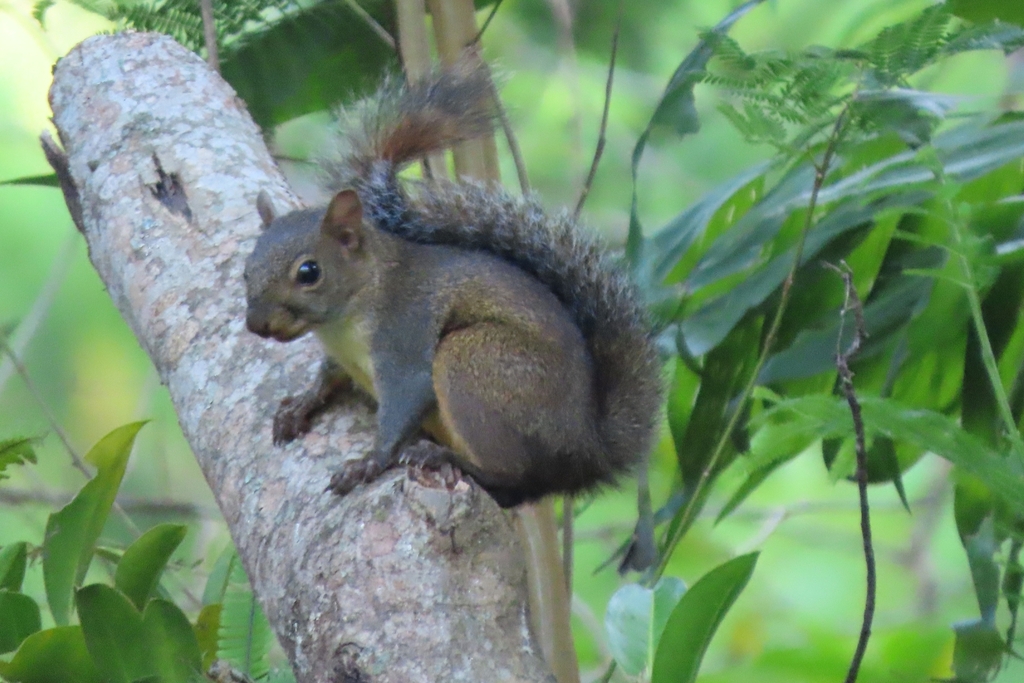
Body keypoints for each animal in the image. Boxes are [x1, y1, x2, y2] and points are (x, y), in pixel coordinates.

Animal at [243, 61, 663, 508]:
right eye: (246, 269)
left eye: (309, 272)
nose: (257, 325)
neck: (342, 322)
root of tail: (587, 449)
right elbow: (329, 374)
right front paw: (302, 403)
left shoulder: (404, 336)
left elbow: (404, 402)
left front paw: (369, 463)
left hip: (475, 361)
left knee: (513, 475)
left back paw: (443, 456)